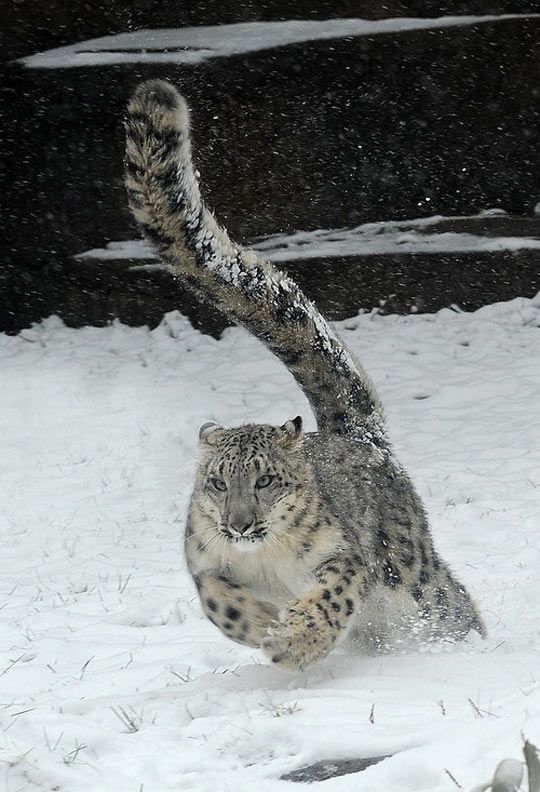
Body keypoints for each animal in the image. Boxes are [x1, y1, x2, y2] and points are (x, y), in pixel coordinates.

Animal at [124, 79, 486, 670]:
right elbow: (220, 604)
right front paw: (263, 626)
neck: (265, 561)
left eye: (265, 480)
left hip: (411, 574)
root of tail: (362, 439)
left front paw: (294, 639)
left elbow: (331, 596)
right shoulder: (204, 563)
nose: (239, 523)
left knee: (450, 604)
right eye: (218, 482)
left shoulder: (342, 558)